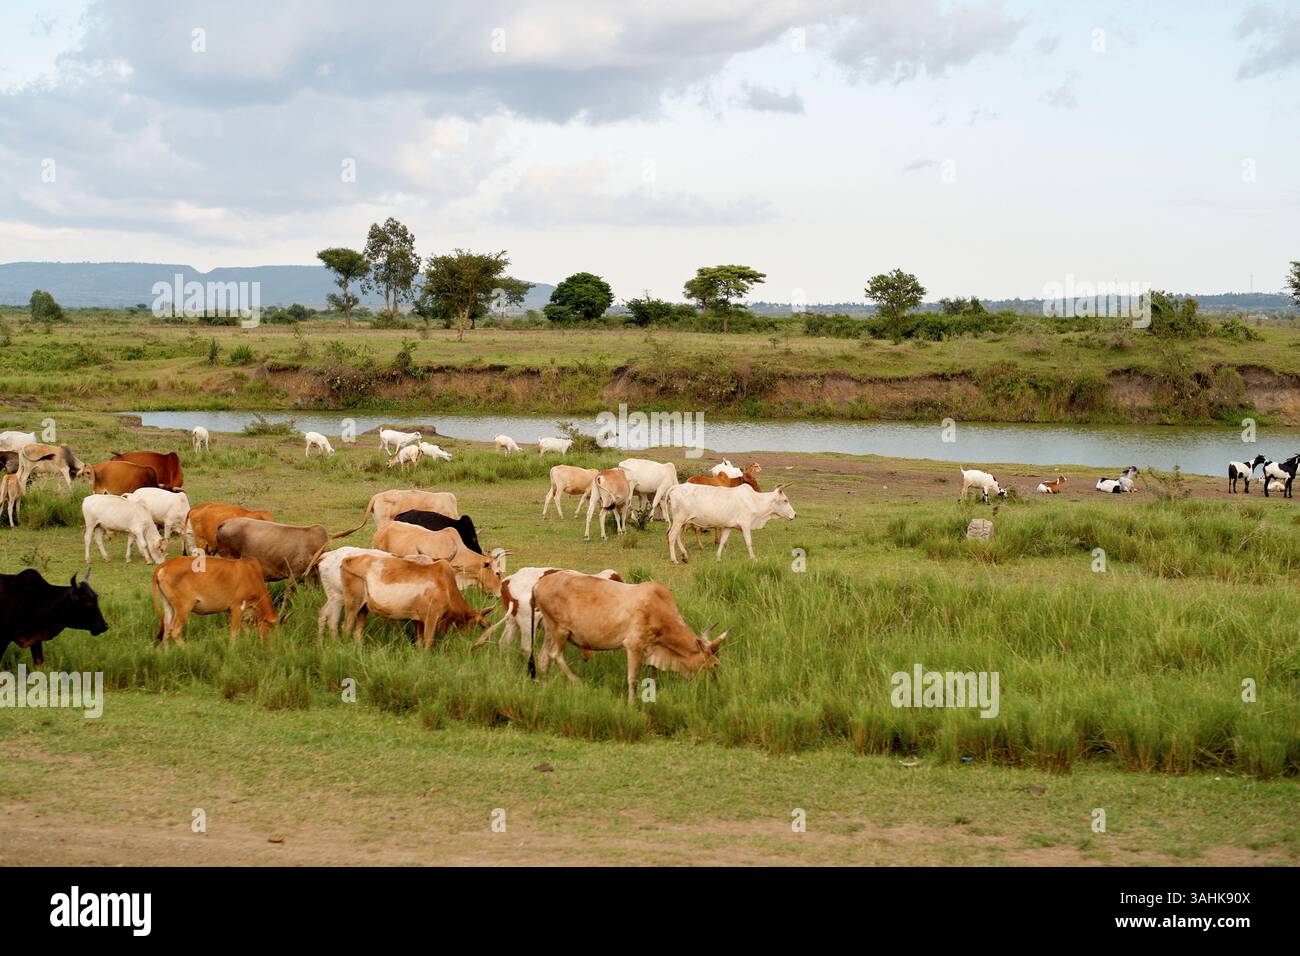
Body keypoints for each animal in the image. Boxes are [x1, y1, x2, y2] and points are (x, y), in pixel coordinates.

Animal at [340, 552, 489, 648]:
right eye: (474, 624)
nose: (466, 639)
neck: (447, 587)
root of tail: (349, 559)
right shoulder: (431, 617)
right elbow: (428, 643)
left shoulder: (419, 621)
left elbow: (419, 642)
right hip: (353, 604)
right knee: (346, 628)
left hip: (363, 608)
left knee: (357, 632)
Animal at [532, 571, 727, 701]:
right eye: (715, 664)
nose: (715, 687)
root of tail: (540, 583)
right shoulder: (634, 645)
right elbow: (632, 679)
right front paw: (632, 703)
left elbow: (653, 673)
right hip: (560, 630)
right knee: (555, 655)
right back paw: (578, 682)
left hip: (549, 630)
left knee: (543, 659)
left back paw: (544, 687)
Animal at [665, 483, 796, 564]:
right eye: (785, 500)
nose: (794, 515)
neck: (754, 501)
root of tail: (676, 487)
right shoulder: (745, 524)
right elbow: (749, 542)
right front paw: (753, 558)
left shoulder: (728, 526)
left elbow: (722, 541)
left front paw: (718, 558)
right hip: (679, 519)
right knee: (671, 536)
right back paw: (674, 559)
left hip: (681, 521)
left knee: (677, 536)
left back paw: (684, 555)